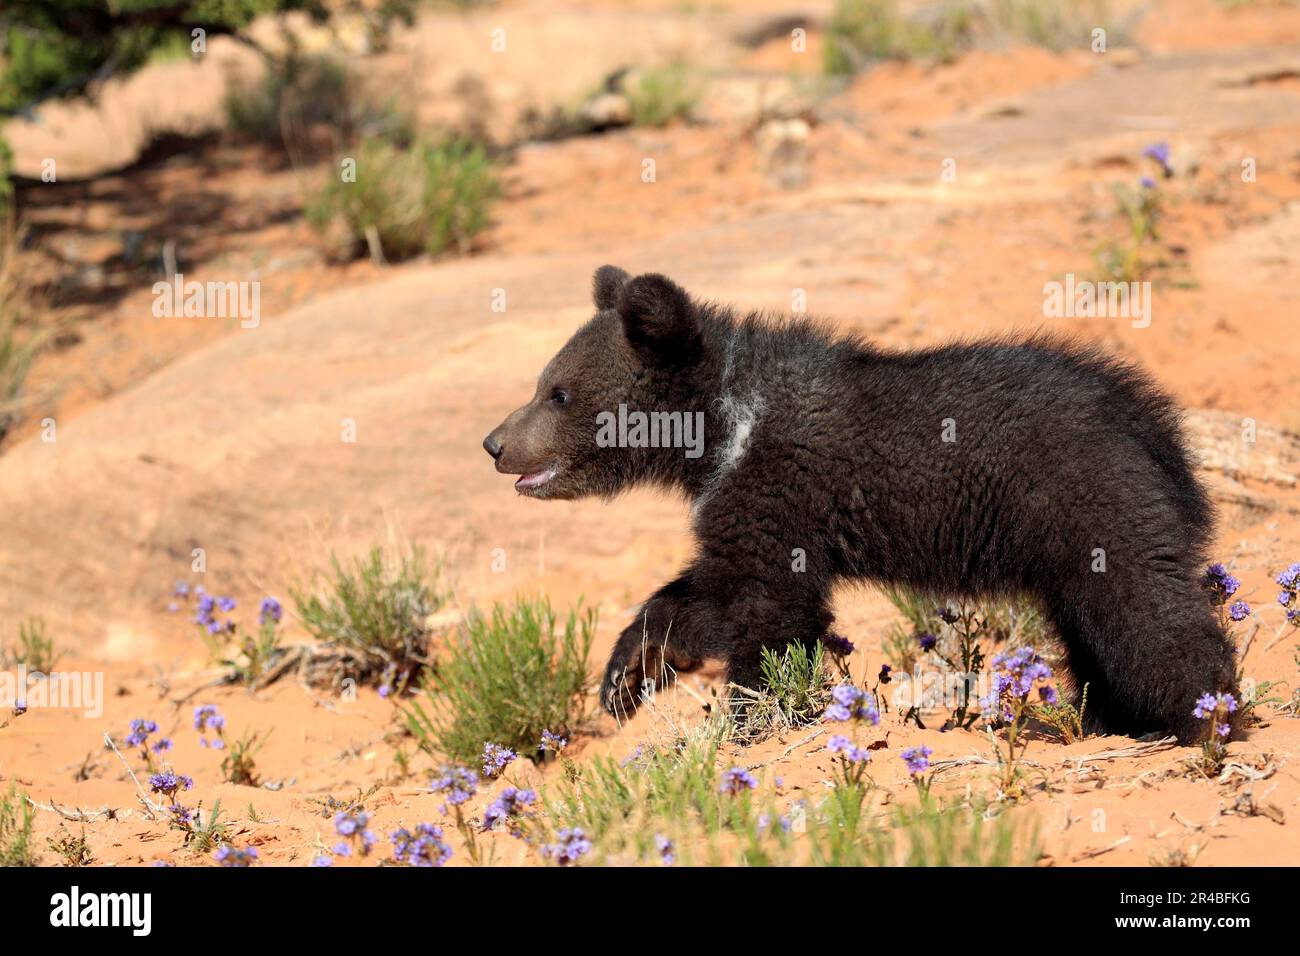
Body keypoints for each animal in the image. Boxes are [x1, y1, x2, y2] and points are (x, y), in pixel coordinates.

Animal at [483, 265, 1239, 743]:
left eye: (557, 392)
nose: (494, 443)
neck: (720, 428)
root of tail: (1152, 422)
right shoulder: (746, 505)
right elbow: (702, 593)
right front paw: (628, 675)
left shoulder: (777, 489)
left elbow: (769, 613)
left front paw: (746, 716)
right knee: (1094, 628)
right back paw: (1114, 717)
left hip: (1088, 501)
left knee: (1146, 610)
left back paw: (1203, 718)